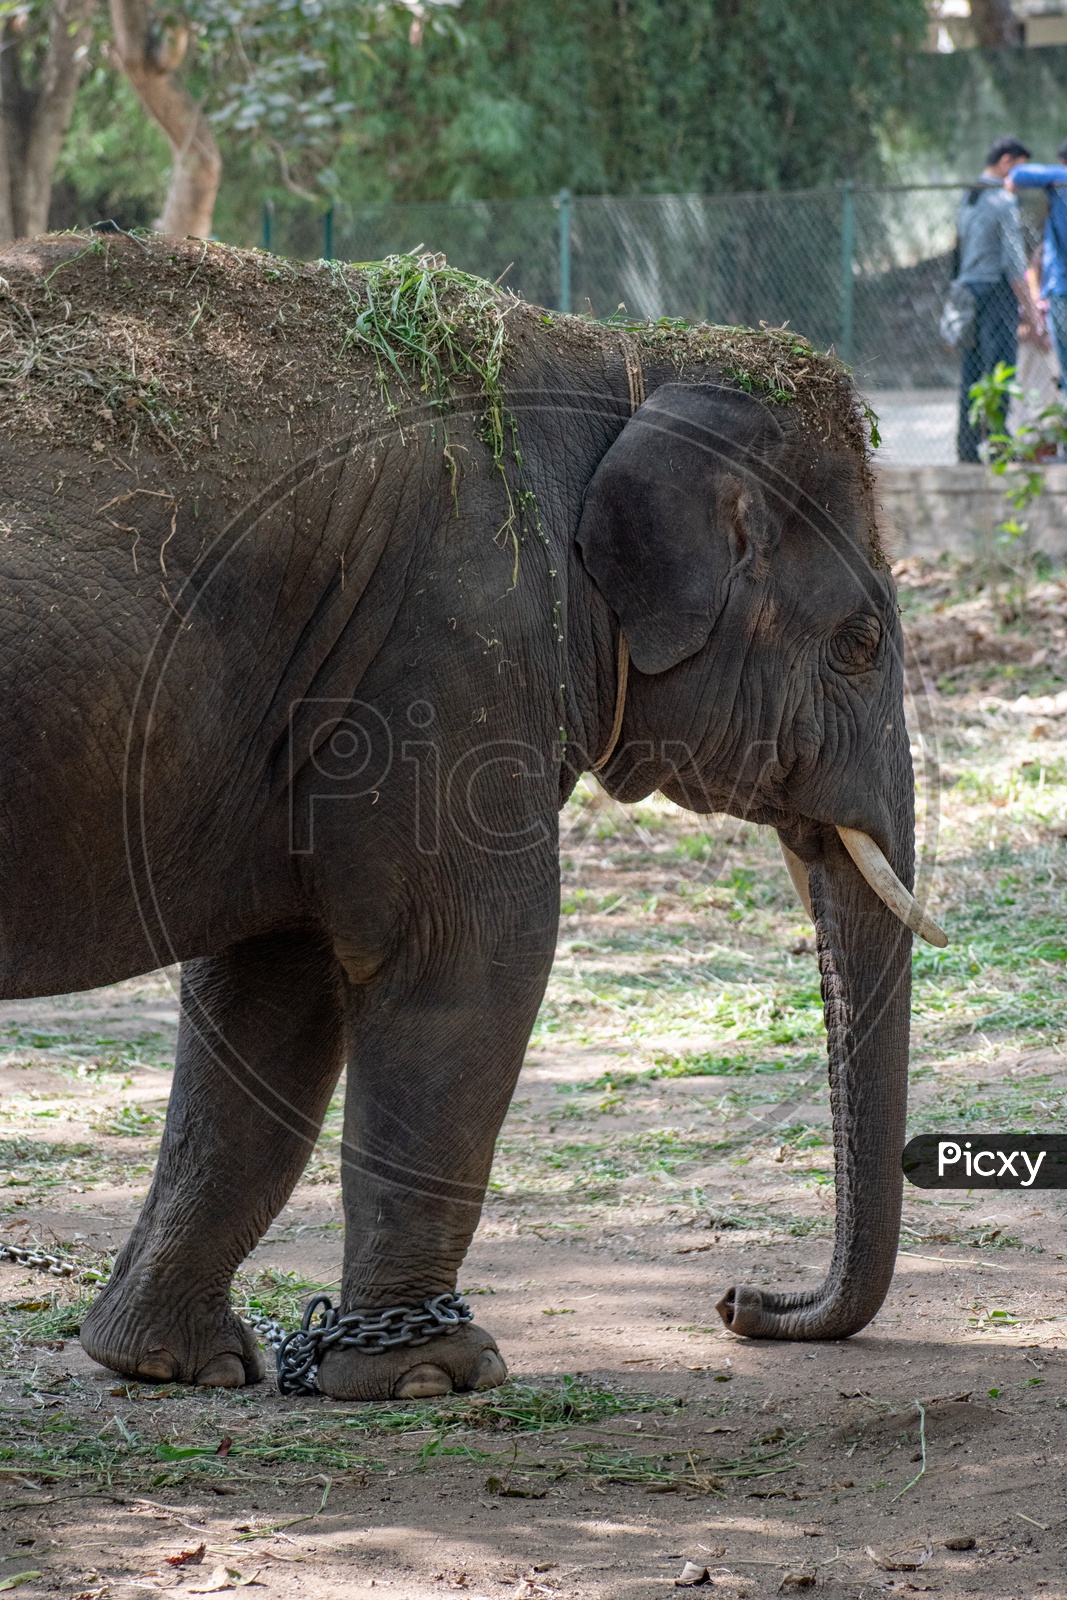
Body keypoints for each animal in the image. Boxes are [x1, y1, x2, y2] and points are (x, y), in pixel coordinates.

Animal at [0, 234, 944, 1401]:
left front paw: (179, 1363)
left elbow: (277, 993)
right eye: (860, 641)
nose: (739, 1300)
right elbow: (472, 952)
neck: (616, 357)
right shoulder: (451, 648)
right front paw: (434, 1376)